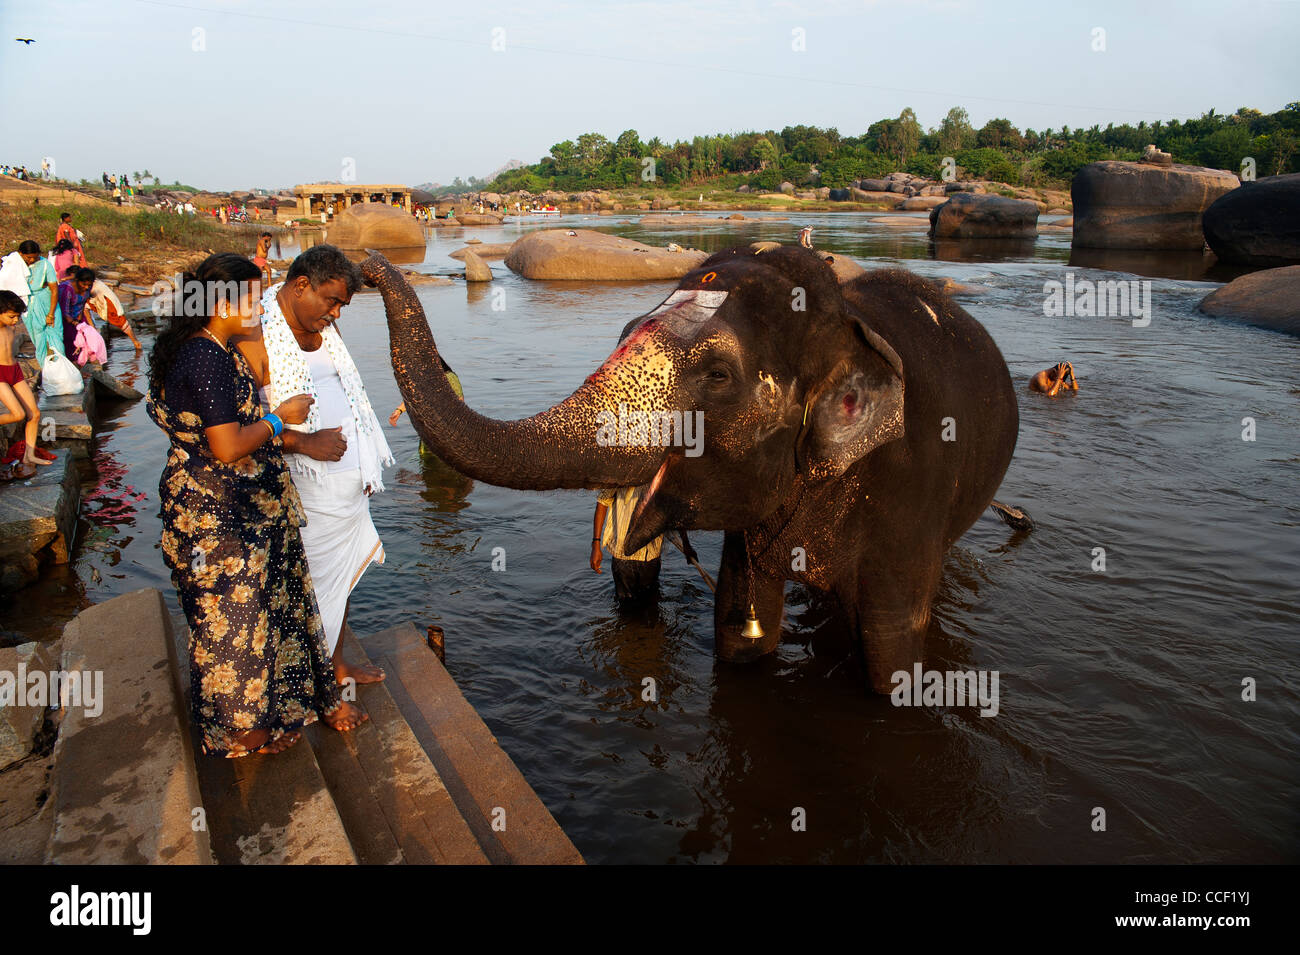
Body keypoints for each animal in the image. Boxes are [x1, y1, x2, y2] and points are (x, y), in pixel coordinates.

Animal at [361, 244, 1019, 693]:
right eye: (625, 332)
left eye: (718, 375)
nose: (363, 263)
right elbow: (741, 632)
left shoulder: (913, 496)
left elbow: (893, 660)